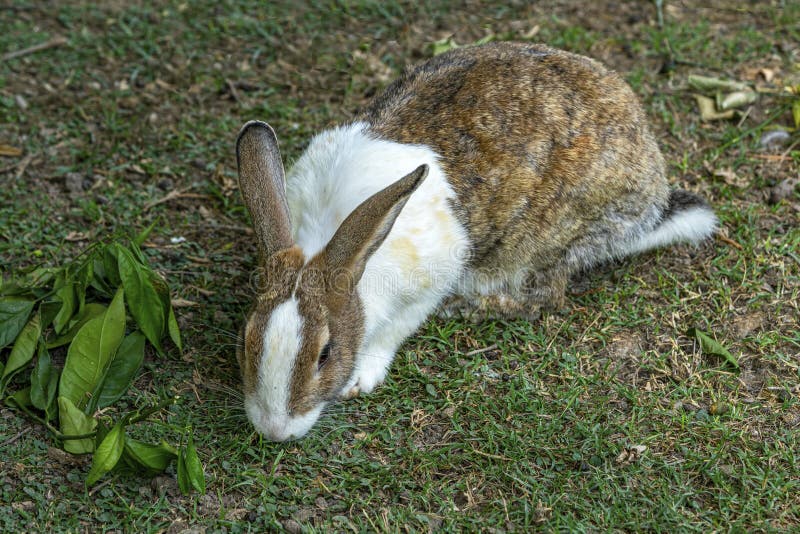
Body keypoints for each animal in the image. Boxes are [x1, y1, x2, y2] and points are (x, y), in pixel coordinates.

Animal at [235, 42, 717, 441]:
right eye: (247, 337)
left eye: (325, 354)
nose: (274, 431)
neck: (339, 245)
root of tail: (653, 199)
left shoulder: (426, 285)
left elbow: (392, 332)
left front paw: (361, 378)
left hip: (545, 244)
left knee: (545, 296)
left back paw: (472, 306)